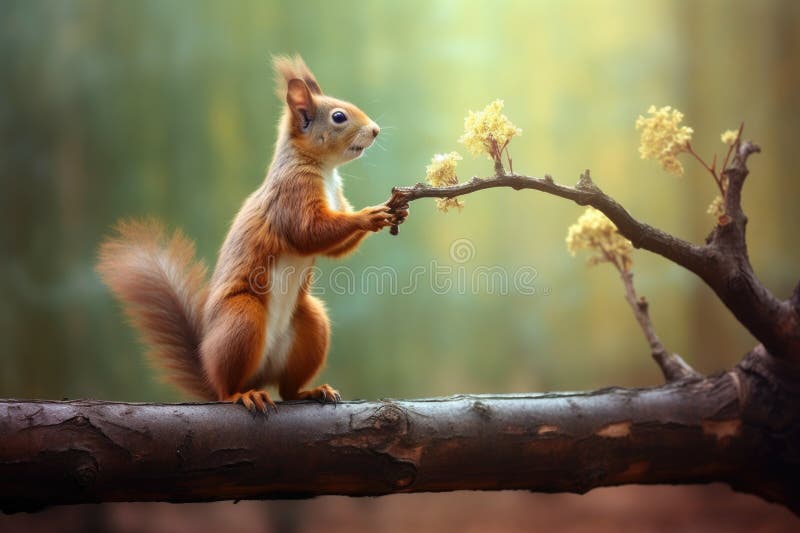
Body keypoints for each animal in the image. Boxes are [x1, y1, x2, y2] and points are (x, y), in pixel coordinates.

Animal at [97, 54, 408, 412]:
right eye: (338, 117)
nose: (375, 130)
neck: (324, 170)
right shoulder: (291, 195)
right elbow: (309, 233)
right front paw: (368, 215)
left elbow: (333, 249)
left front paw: (395, 210)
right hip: (242, 319)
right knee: (228, 388)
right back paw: (241, 395)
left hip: (311, 323)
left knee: (288, 389)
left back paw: (310, 391)